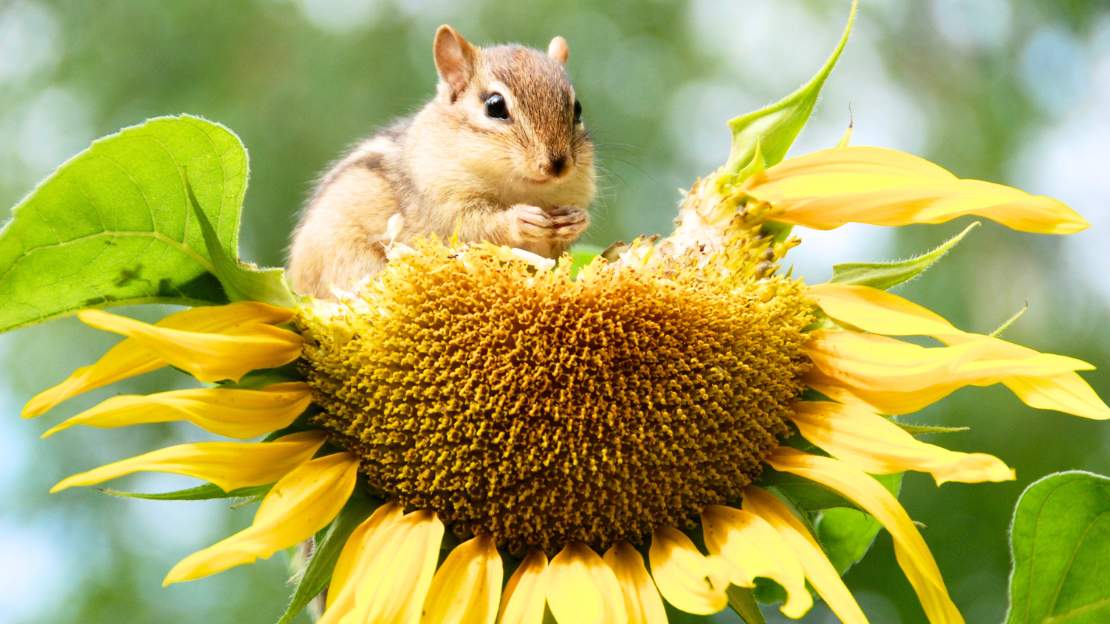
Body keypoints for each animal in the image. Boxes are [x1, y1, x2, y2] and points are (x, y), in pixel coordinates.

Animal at [288, 25, 596, 298]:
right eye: (495, 106)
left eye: (578, 109)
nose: (557, 165)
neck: (523, 189)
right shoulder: (442, 203)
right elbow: (474, 227)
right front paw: (520, 218)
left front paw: (576, 219)